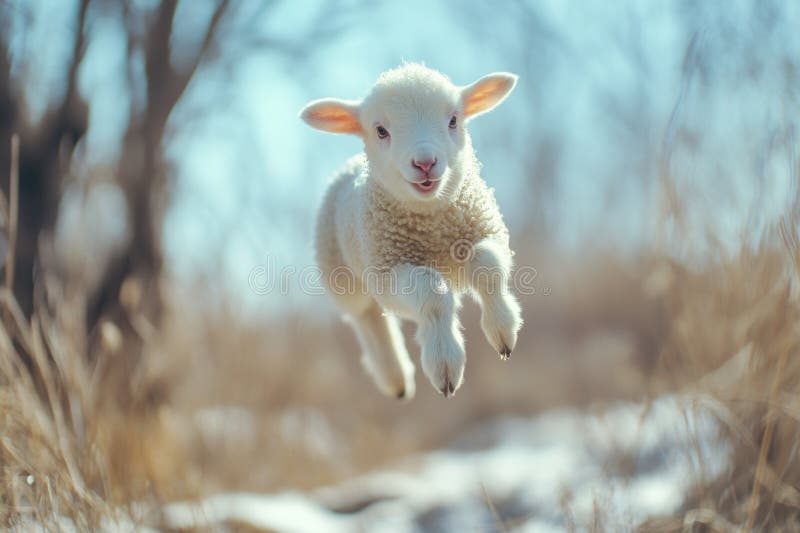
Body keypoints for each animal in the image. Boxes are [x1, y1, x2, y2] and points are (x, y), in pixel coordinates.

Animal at [301, 63, 522, 399]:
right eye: (381, 130)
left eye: (453, 120)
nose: (425, 163)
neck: (432, 224)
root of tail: (351, 164)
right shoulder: (388, 271)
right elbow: (432, 291)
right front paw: (445, 363)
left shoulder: (487, 230)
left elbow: (487, 265)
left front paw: (503, 330)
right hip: (345, 277)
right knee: (367, 318)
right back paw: (395, 378)